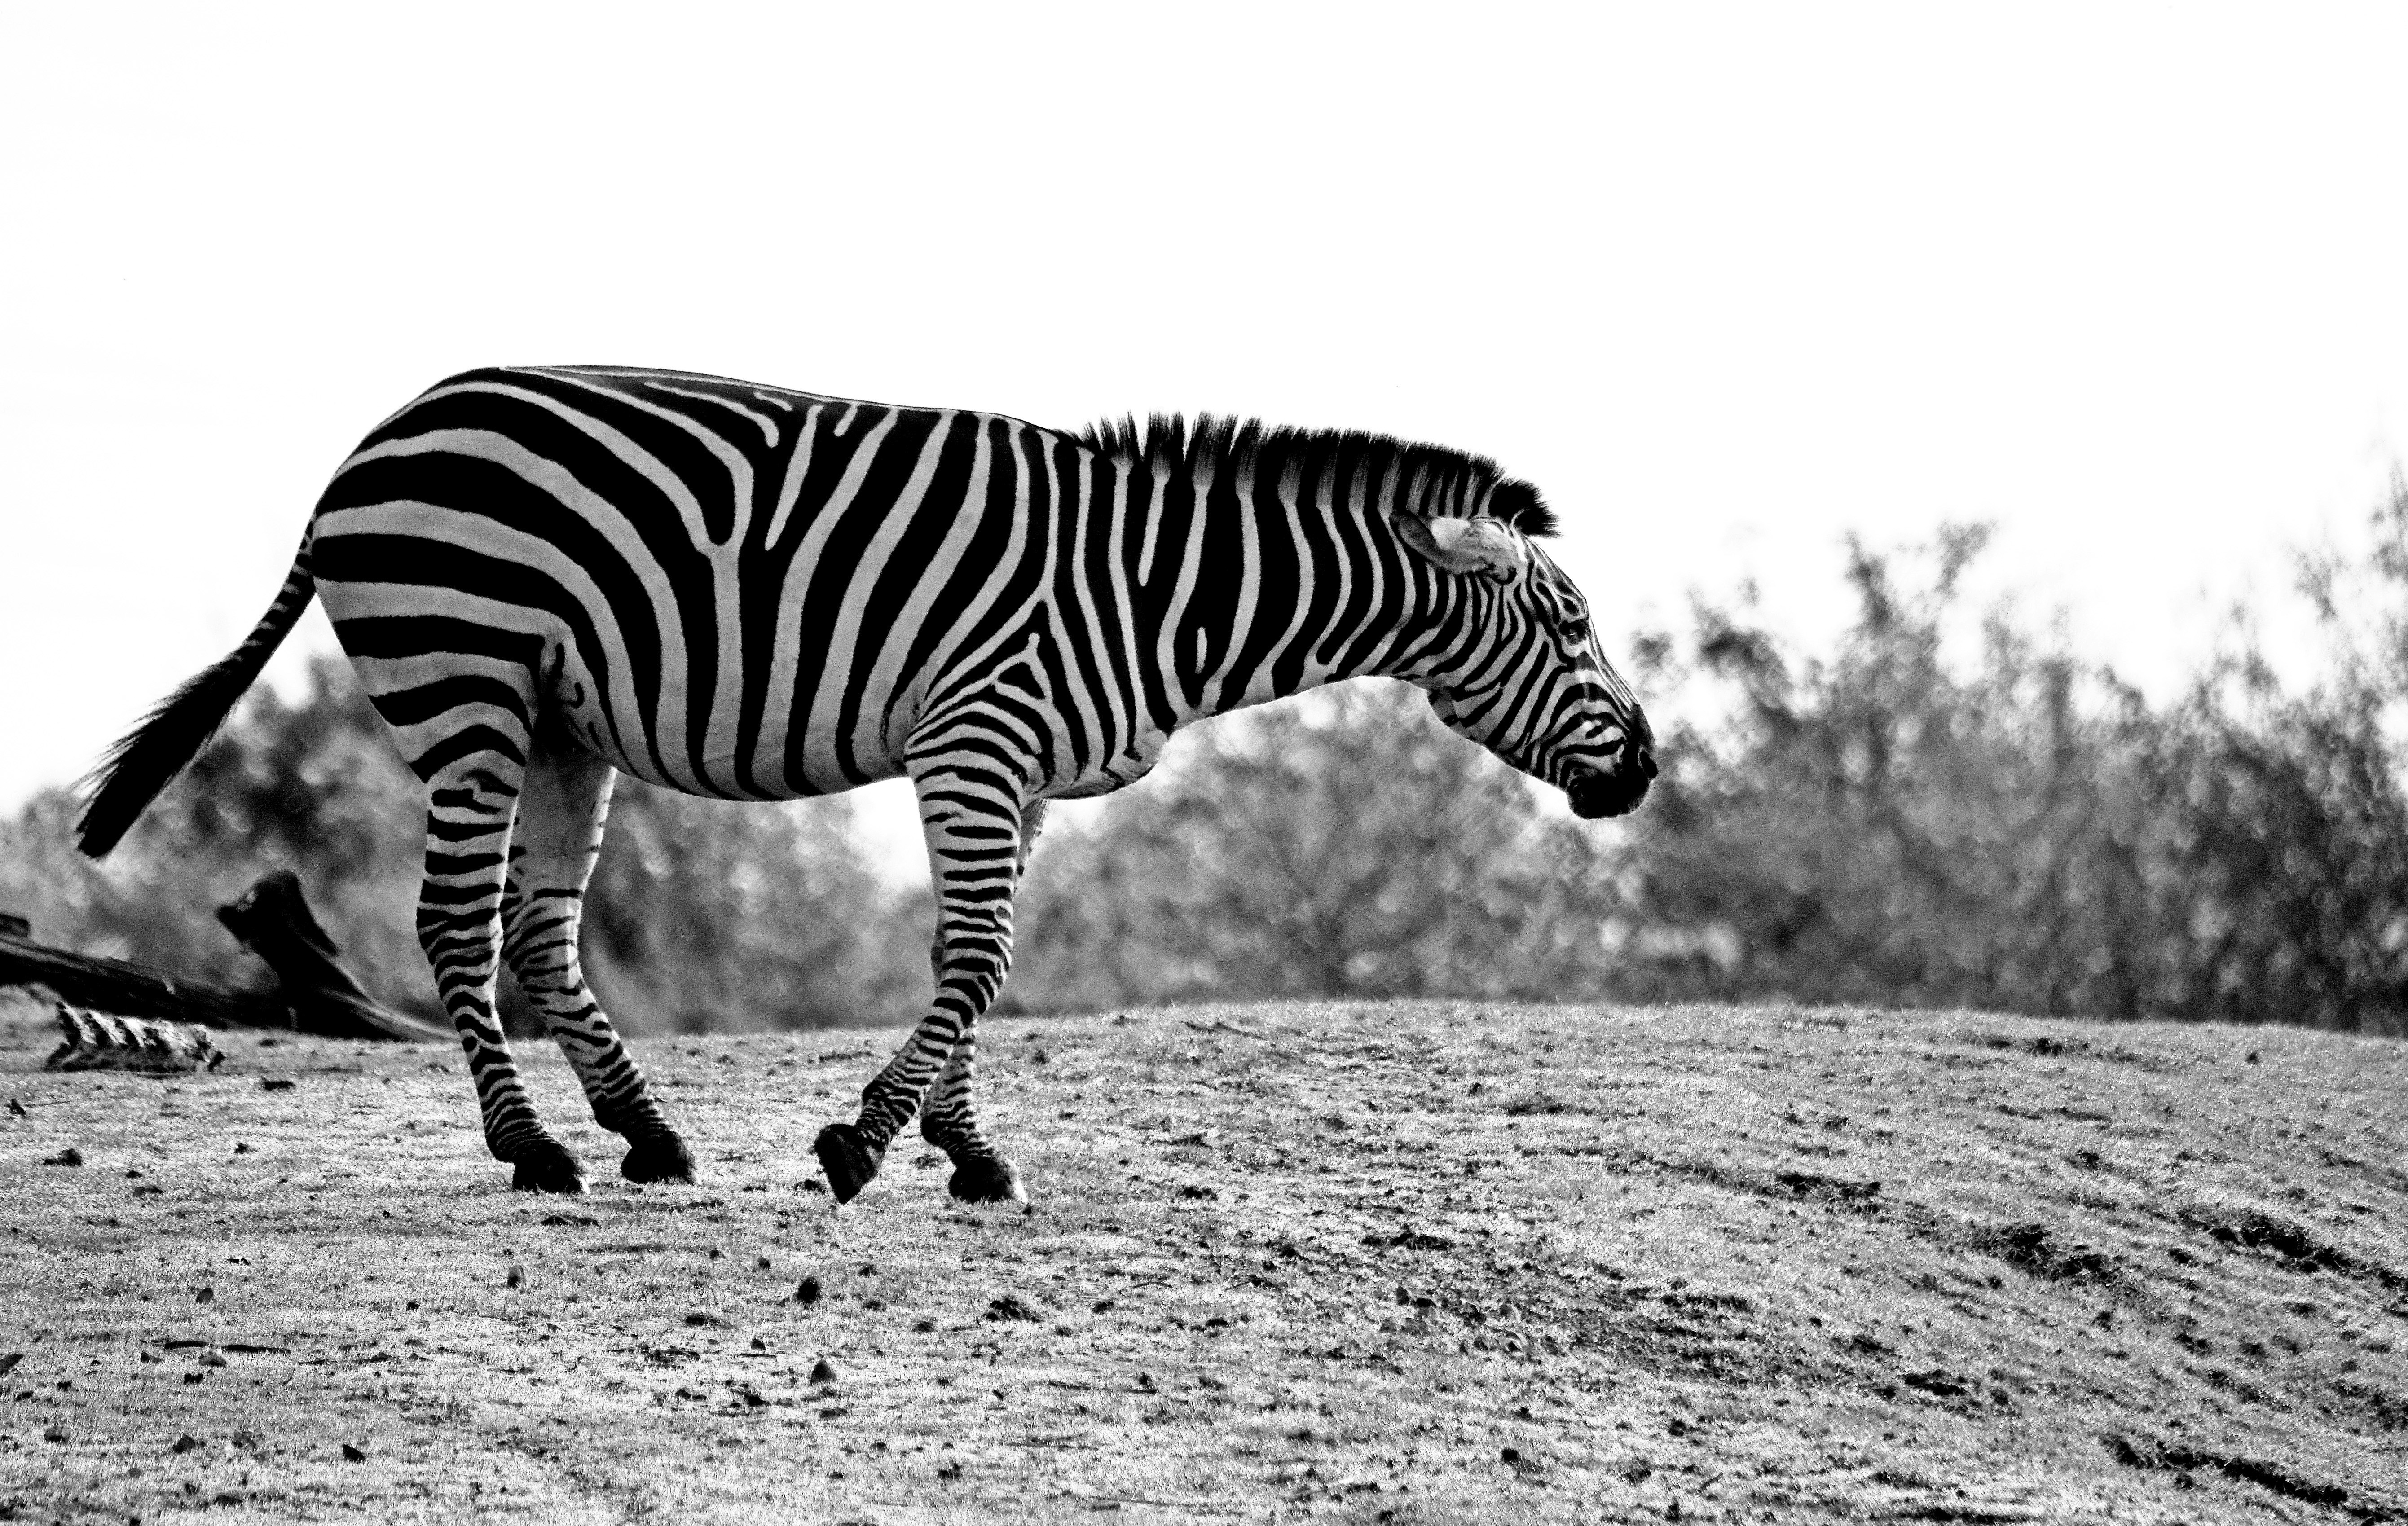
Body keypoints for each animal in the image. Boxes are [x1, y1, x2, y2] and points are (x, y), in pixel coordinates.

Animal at [76, 366, 1655, 1204]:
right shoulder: (977, 731)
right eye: (1574, 624)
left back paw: (646, 1132)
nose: (1641, 768)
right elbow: (979, 952)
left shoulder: (1012, 761)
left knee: (537, 923)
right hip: (464, 679)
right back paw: (533, 1148)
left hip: (559, 717)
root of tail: (372, 444)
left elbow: (971, 952)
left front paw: (964, 1148)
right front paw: (866, 1141)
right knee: (458, 922)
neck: (1162, 591)